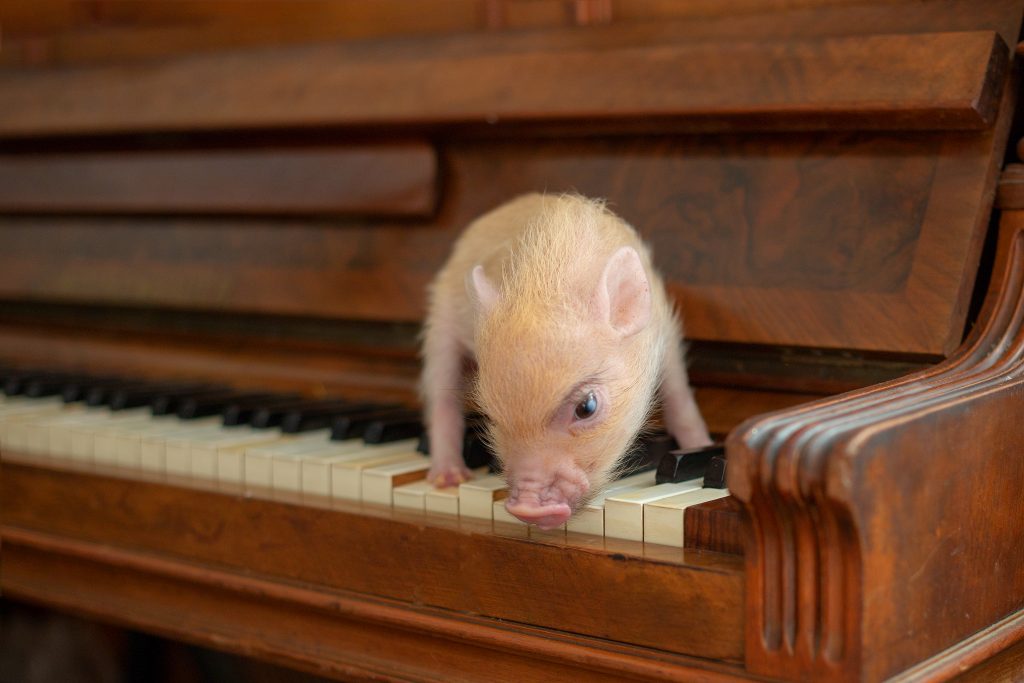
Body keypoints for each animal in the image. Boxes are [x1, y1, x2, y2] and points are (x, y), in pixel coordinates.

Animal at [421, 193, 710, 529]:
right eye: (490, 415)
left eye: (586, 407)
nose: (526, 509)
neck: (553, 276)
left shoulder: (666, 332)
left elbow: (679, 396)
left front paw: (703, 447)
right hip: (440, 321)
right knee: (441, 398)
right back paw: (448, 481)